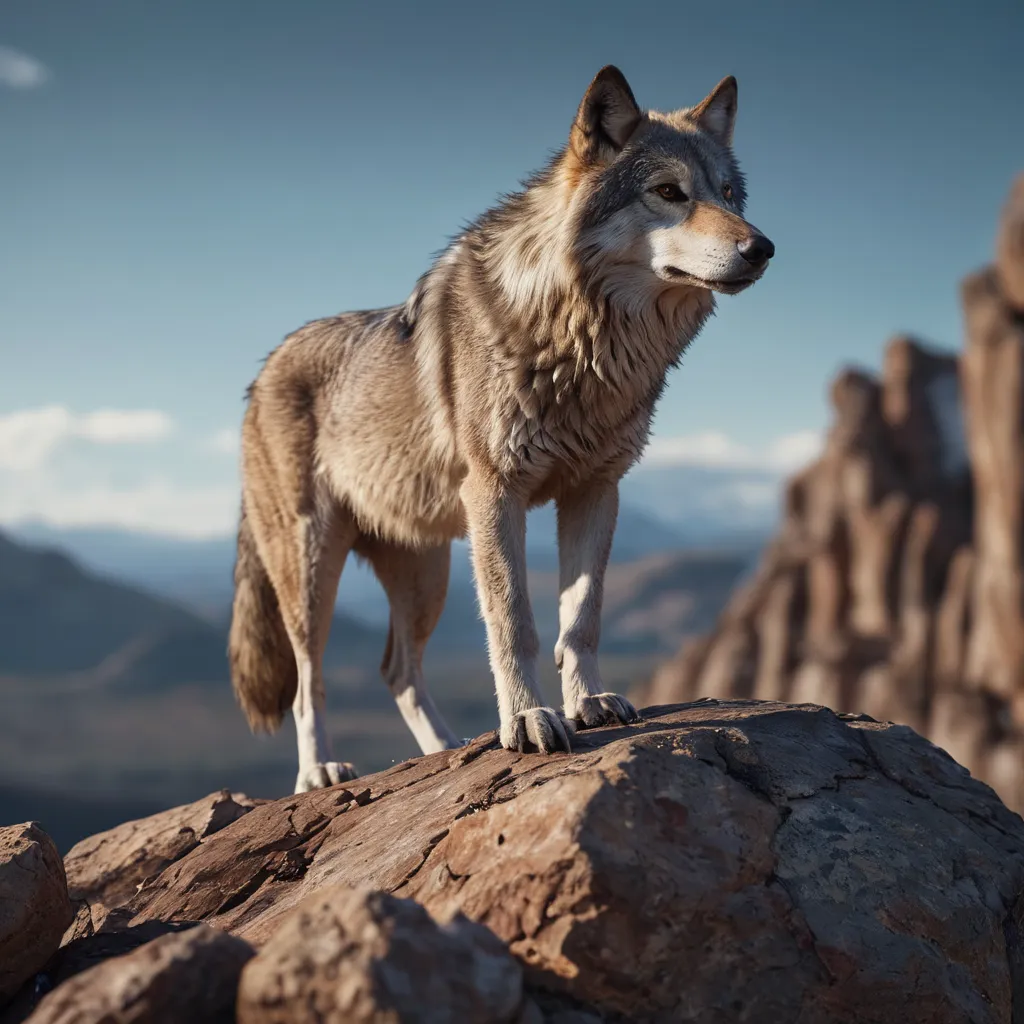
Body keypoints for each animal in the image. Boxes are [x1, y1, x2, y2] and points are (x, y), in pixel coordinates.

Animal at [229, 66, 774, 792]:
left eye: (729, 194)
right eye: (668, 192)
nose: (762, 246)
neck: (583, 343)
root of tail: (263, 371)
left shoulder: (596, 492)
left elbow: (582, 618)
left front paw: (589, 704)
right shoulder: (496, 494)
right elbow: (515, 622)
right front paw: (527, 721)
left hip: (426, 571)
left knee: (397, 669)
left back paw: (444, 749)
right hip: (314, 565)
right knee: (307, 678)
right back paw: (320, 770)